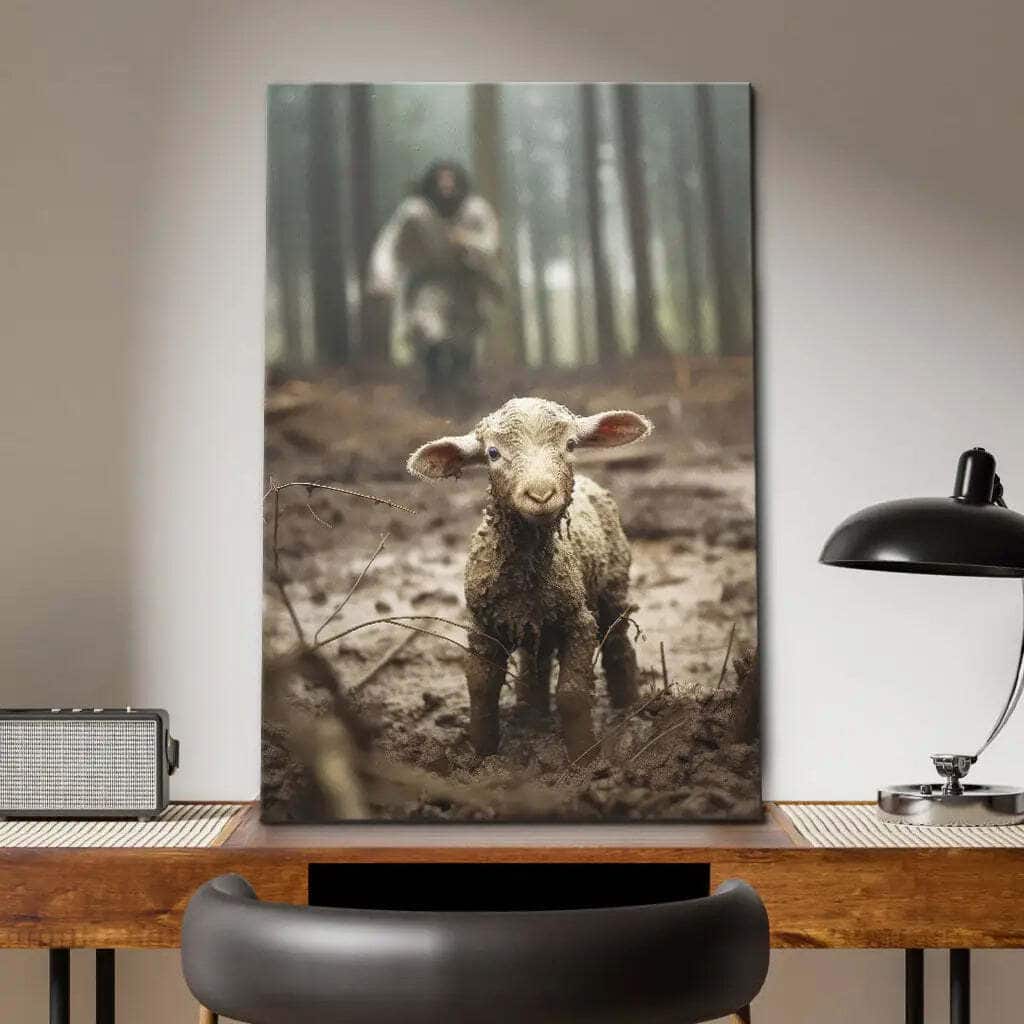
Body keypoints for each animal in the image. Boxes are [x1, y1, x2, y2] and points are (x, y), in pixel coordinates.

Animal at [407, 397, 653, 758]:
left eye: (571, 445)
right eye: (493, 453)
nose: (540, 495)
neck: (525, 574)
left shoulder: (579, 620)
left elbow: (572, 692)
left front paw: (584, 756)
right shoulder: (483, 624)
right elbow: (481, 687)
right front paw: (482, 753)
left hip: (613, 584)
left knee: (618, 642)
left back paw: (628, 707)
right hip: (536, 621)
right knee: (536, 660)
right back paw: (531, 713)